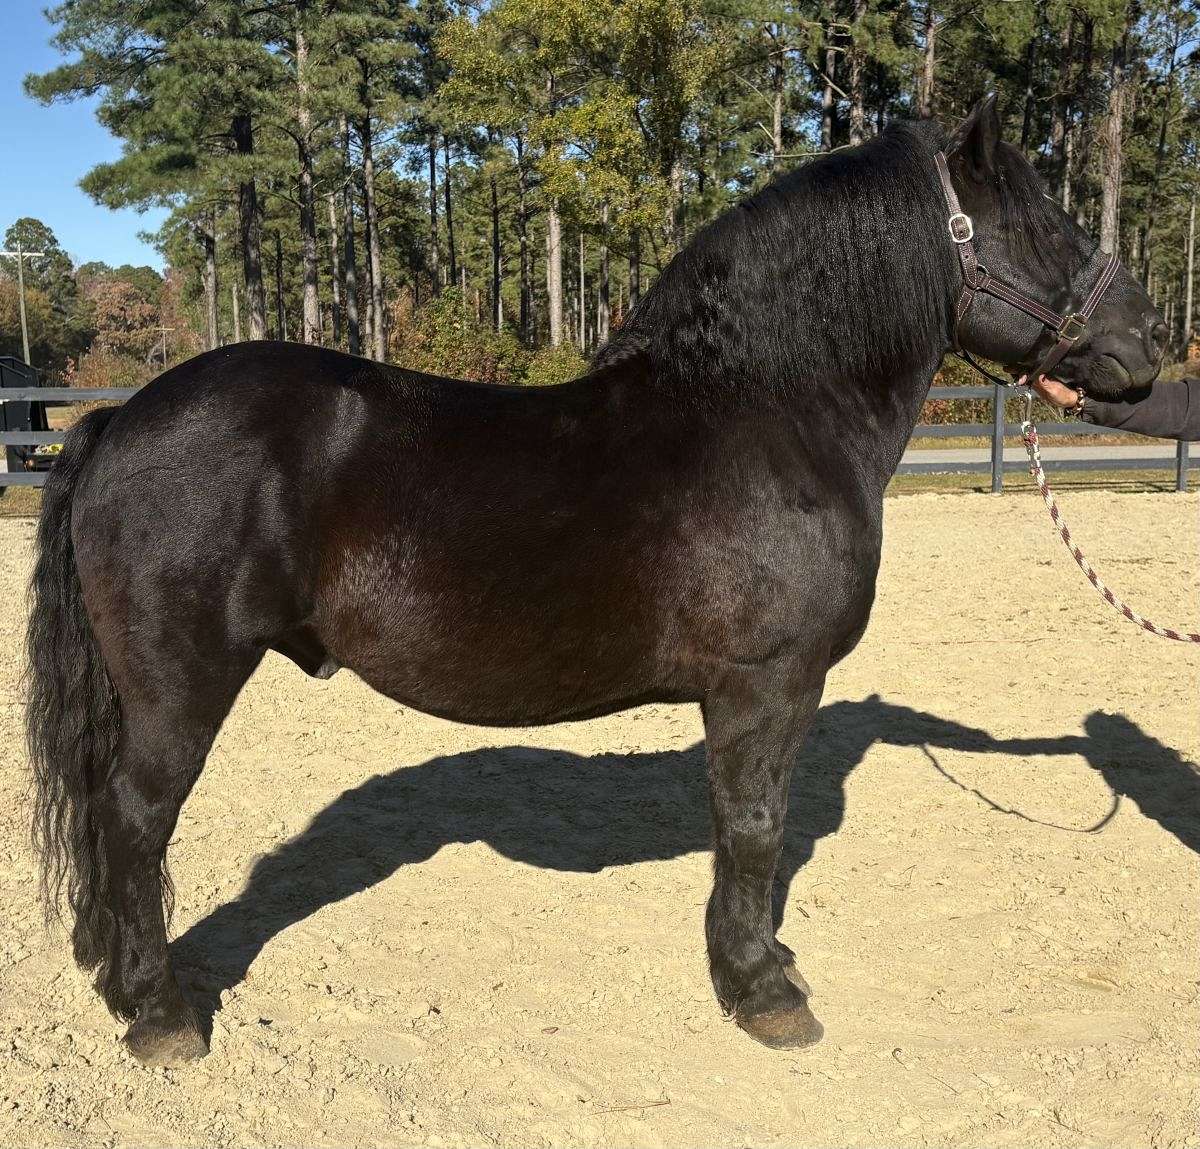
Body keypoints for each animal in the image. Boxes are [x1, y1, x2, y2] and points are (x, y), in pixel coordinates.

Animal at [26, 95, 1165, 1066]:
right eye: (1045, 227)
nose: (1146, 346)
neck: (767, 414)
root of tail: (121, 418)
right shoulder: (768, 684)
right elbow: (754, 830)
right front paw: (763, 992)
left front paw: (766, 966)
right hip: (181, 689)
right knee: (133, 820)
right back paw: (161, 1014)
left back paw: (118, 980)